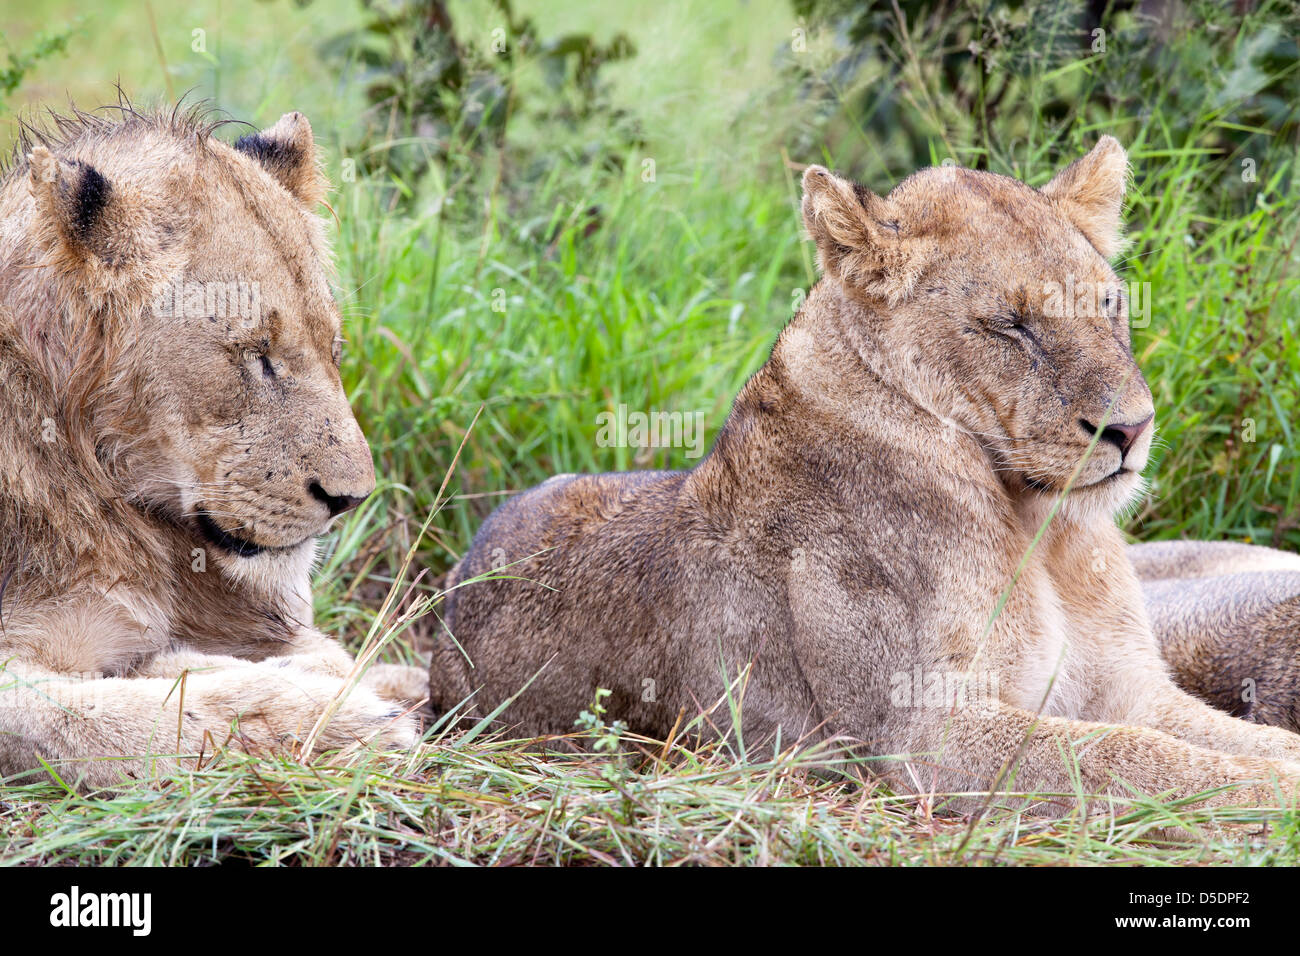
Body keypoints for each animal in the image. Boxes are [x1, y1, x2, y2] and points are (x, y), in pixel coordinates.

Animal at [431, 138, 1300, 812]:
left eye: (1111, 303)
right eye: (1008, 325)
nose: (1130, 428)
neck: (1040, 530)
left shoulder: (1131, 688)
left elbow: (1231, 739)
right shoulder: (923, 736)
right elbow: (1131, 758)